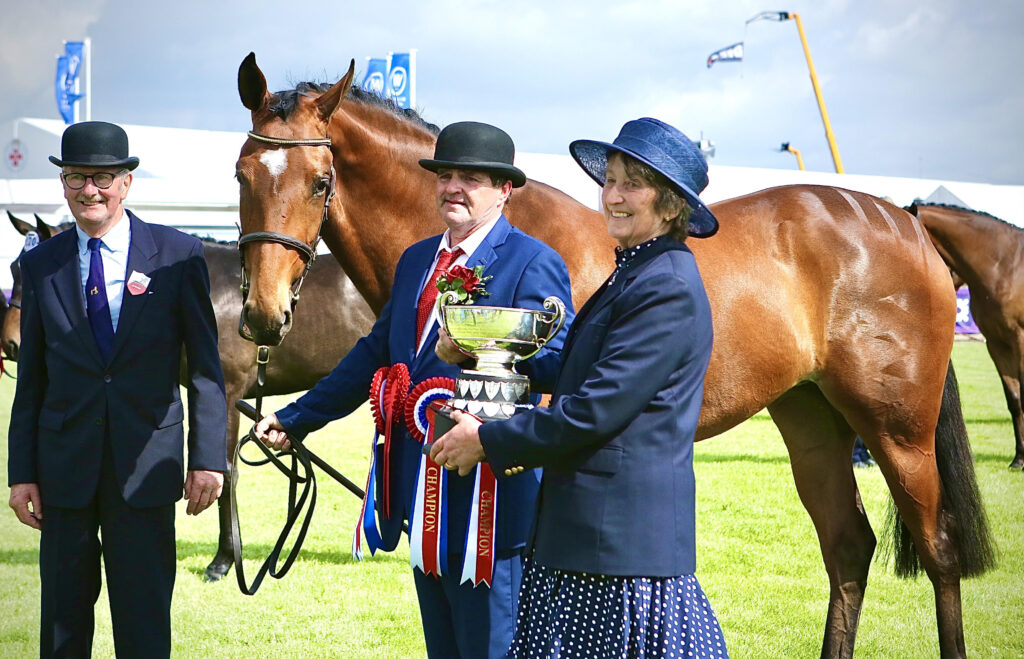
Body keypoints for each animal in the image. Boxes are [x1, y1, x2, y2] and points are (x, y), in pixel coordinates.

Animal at [4, 211, 375, 581]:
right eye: (13, 270)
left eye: (24, 272)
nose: (12, 344)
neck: (216, 293)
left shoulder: (227, 391)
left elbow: (226, 472)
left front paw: (222, 561)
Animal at [232, 53, 994, 658]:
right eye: (242, 175)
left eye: (320, 181)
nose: (263, 314)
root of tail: (906, 224)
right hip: (809, 417)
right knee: (848, 547)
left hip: (897, 429)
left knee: (939, 552)